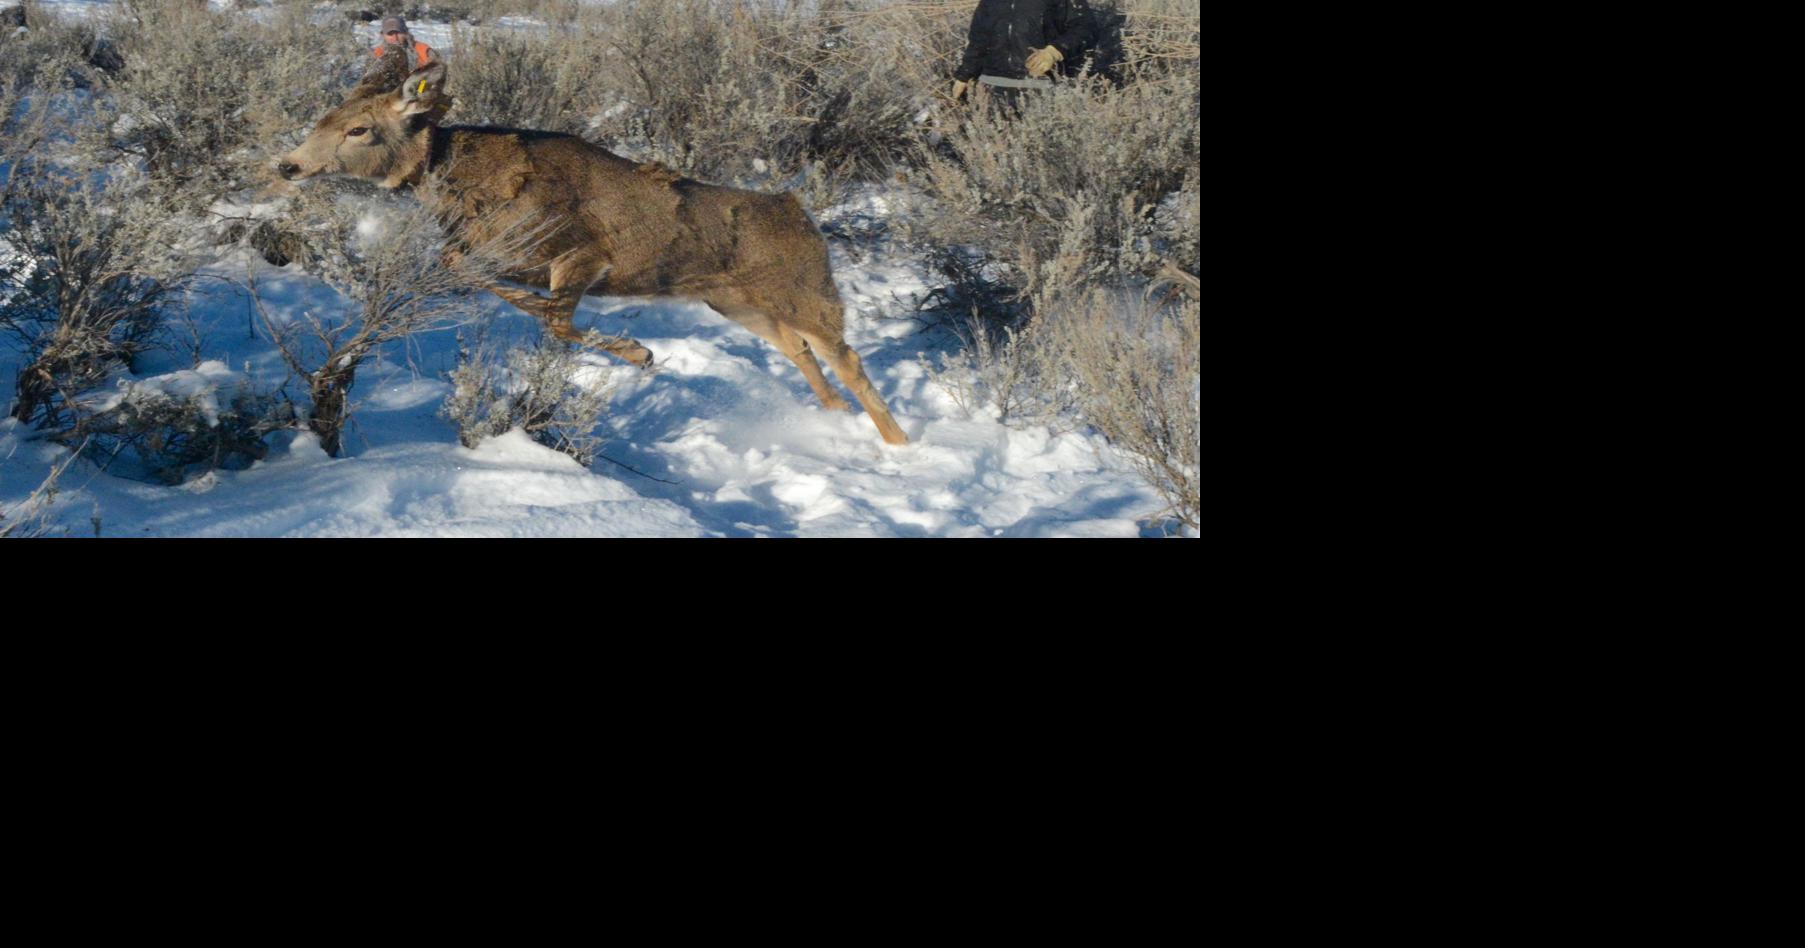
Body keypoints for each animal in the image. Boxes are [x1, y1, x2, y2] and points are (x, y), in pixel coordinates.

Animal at [275, 62, 910, 445]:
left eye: (358, 129)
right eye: (324, 118)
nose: (289, 165)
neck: (453, 179)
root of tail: (802, 215)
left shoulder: (581, 254)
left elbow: (558, 321)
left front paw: (639, 353)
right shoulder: (489, 255)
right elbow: (478, 275)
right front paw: (636, 351)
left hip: (805, 292)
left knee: (847, 357)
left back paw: (897, 443)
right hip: (737, 303)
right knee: (799, 351)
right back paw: (836, 418)